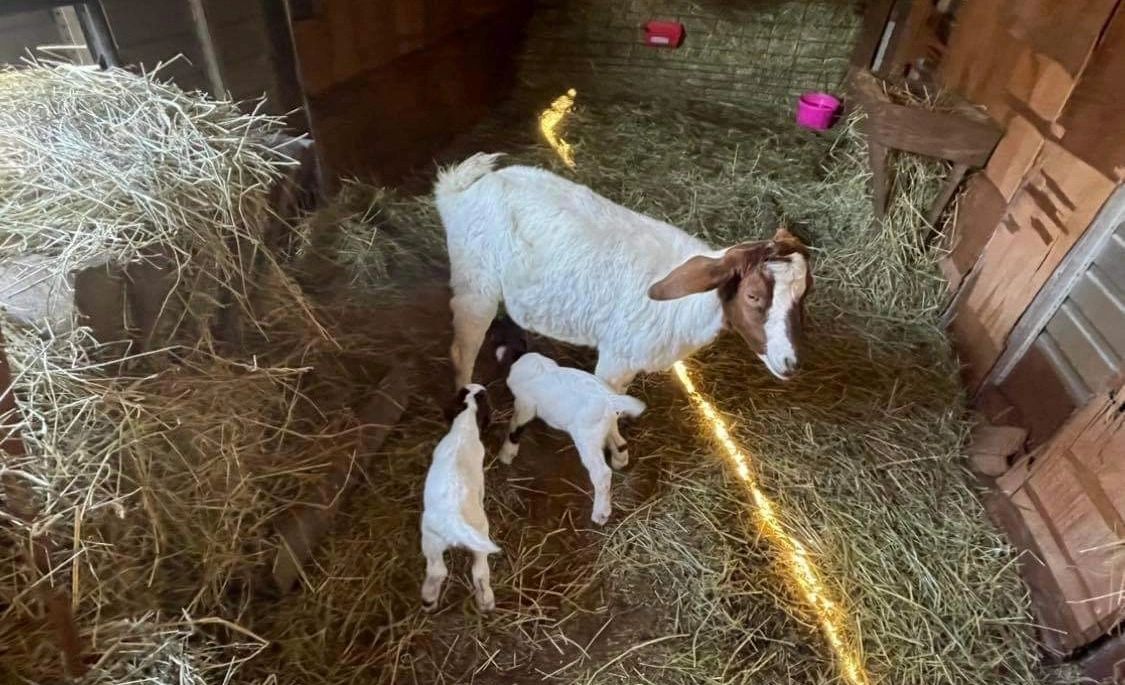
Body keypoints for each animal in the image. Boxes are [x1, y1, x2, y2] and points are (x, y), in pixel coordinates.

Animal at [420, 384, 499, 612]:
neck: (464, 427)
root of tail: (453, 522)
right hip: (480, 536)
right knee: (479, 571)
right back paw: (486, 601)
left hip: (431, 540)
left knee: (438, 570)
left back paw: (429, 600)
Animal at [434, 153, 813, 399]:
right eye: (753, 296)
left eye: (803, 296)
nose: (790, 363)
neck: (687, 304)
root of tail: (458, 192)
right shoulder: (617, 359)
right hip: (474, 280)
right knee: (462, 349)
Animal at [499, 352, 646, 525]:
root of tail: (609, 399)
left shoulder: (525, 404)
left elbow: (515, 426)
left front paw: (505, 454)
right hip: (607, 425)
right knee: (620, 443)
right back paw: (619, 461)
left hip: (587, 438)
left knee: (601, 473)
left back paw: (600, 514)